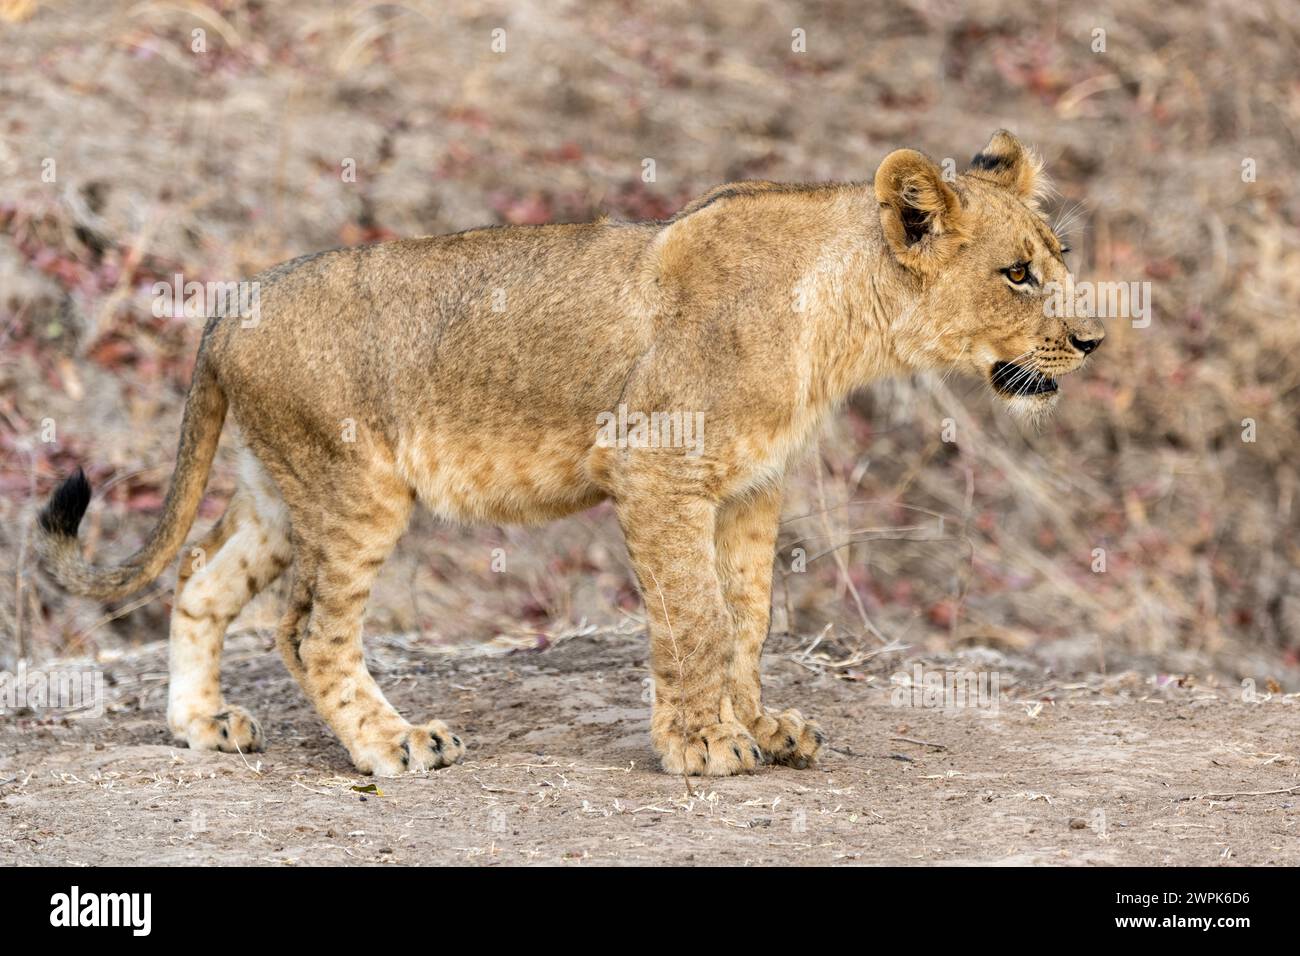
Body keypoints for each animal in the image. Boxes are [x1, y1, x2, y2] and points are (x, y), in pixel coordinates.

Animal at [35, 131, 1103, 776]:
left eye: (1059, 257)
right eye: (1018, 274)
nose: (1092, 340)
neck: (840, 320)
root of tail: (229, 307)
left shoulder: (751, 488)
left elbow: (747, 618)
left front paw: (760, 728)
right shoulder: (656, 467)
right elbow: (695, 619)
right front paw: (703, 746)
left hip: (275, 485)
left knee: (201, 581)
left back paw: (202, 726)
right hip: (356, 487)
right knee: (306, 628)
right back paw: (395, 744)